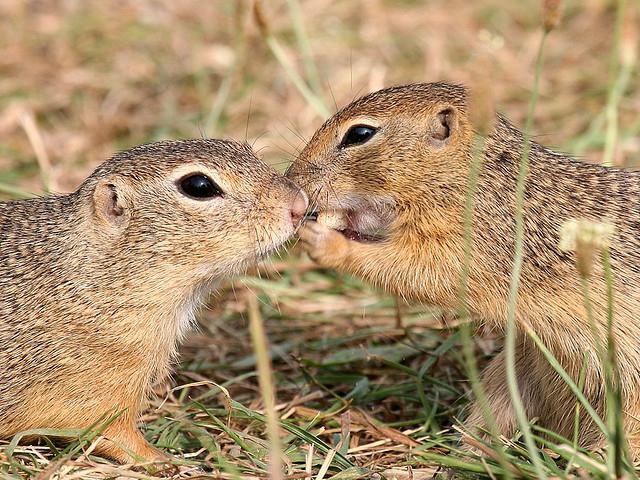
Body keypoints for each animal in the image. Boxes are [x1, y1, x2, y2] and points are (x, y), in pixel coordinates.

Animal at [0, 140, 310, 464]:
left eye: (244, 147)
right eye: (199, 186)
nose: (299, 204)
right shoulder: (92, 391)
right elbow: (114, 435)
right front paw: (165, 460)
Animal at [288, 82, 640, 458]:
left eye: (360, 134)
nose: (292, 178)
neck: (474, 178)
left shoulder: (471, 247)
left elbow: (420, 271)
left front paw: (327, 242)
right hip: (518, 365)